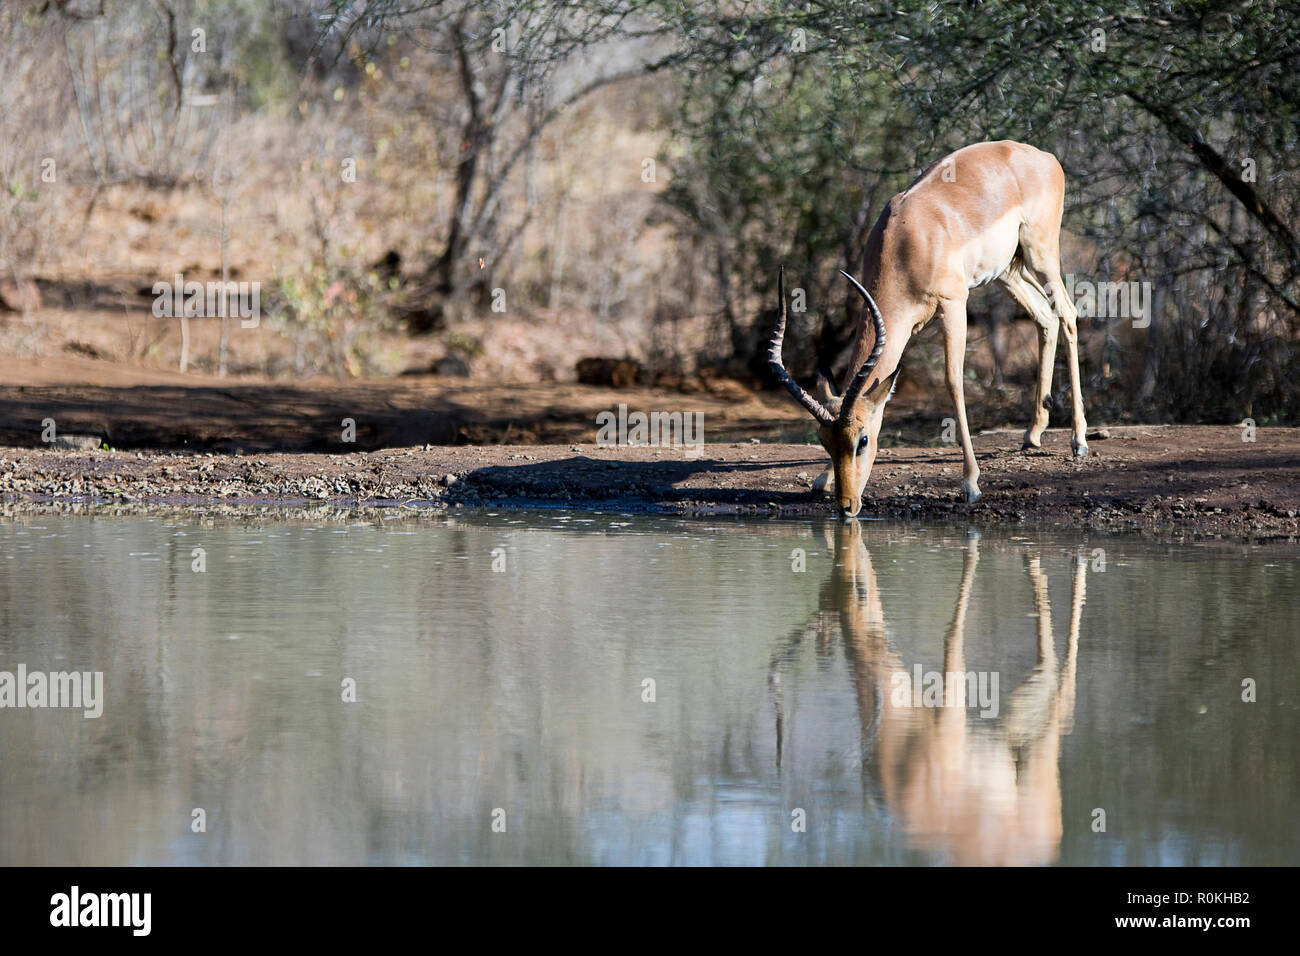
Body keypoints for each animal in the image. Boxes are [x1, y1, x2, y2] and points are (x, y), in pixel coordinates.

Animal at [769, 140, 1089, 517]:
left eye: (863, 440)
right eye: (824, 441)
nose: (847, 505)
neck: (909, 239)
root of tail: (1042, 155)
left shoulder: (954, 304)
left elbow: (953, 381)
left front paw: (971, 484)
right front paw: (821, 479)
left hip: (1041, 254)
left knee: (1067, 313)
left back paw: (1079, 441)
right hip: (1007, 271)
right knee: (1045, 317)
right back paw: (1032, 434)